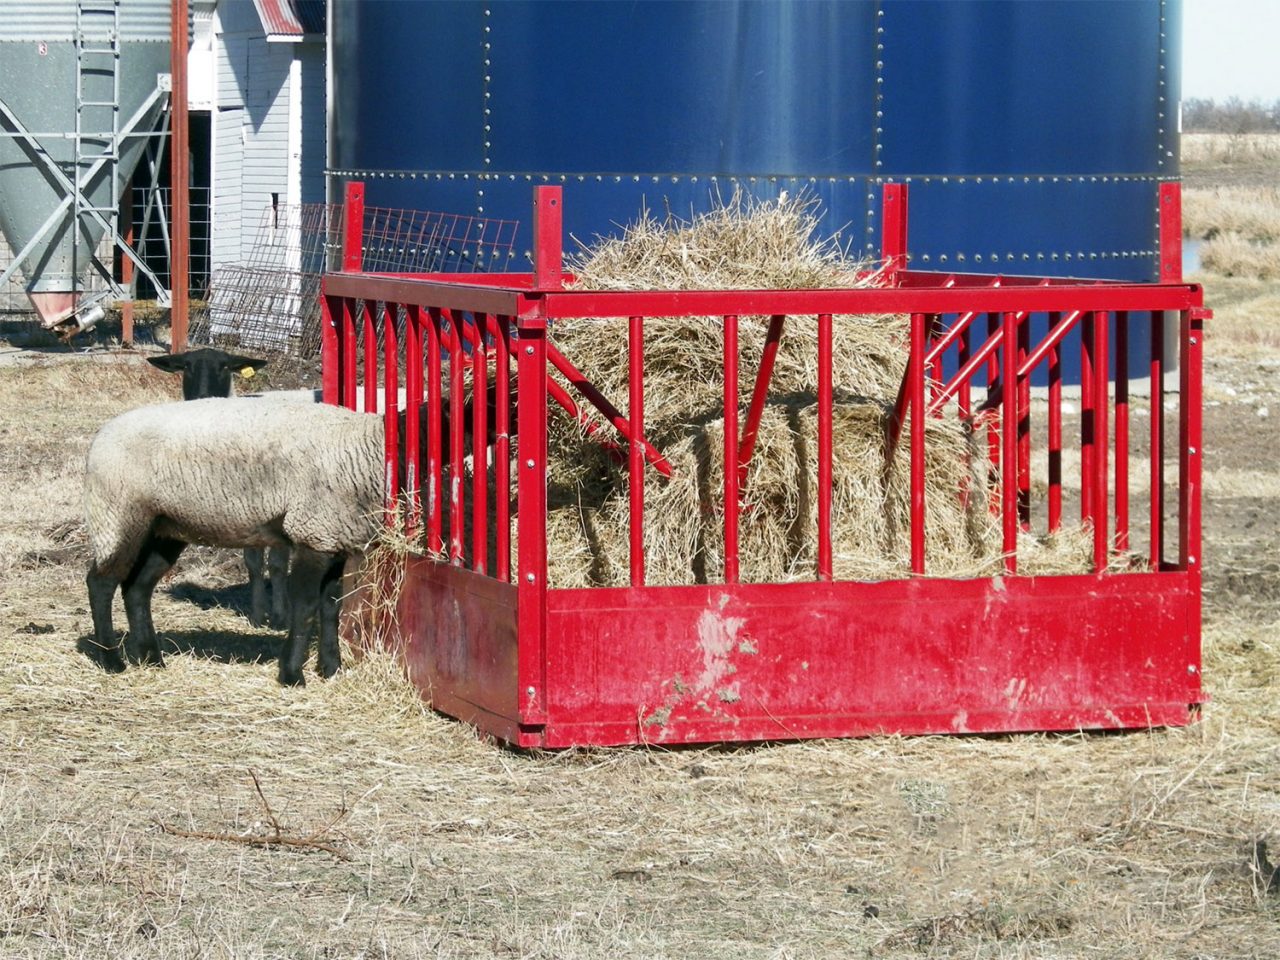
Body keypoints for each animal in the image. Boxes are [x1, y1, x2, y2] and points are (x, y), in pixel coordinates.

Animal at [84, 398, 387, 686]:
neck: (364, 448)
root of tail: (99, 438)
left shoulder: (331, 539)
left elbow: (331, 607)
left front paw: (332, 669)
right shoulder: (311, 532)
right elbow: (305, 607)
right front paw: (291, 675)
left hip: (163, 529)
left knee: (137, 587)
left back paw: (150, 659)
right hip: (118, 513)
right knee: (101, 583)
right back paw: (111, 661)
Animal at [146, 348, 291, 629]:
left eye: (225, 367)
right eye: (186, 366)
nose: (203, 398)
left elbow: (278, 565)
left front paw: (280, 618)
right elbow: (253, 563)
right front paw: (258, 615)